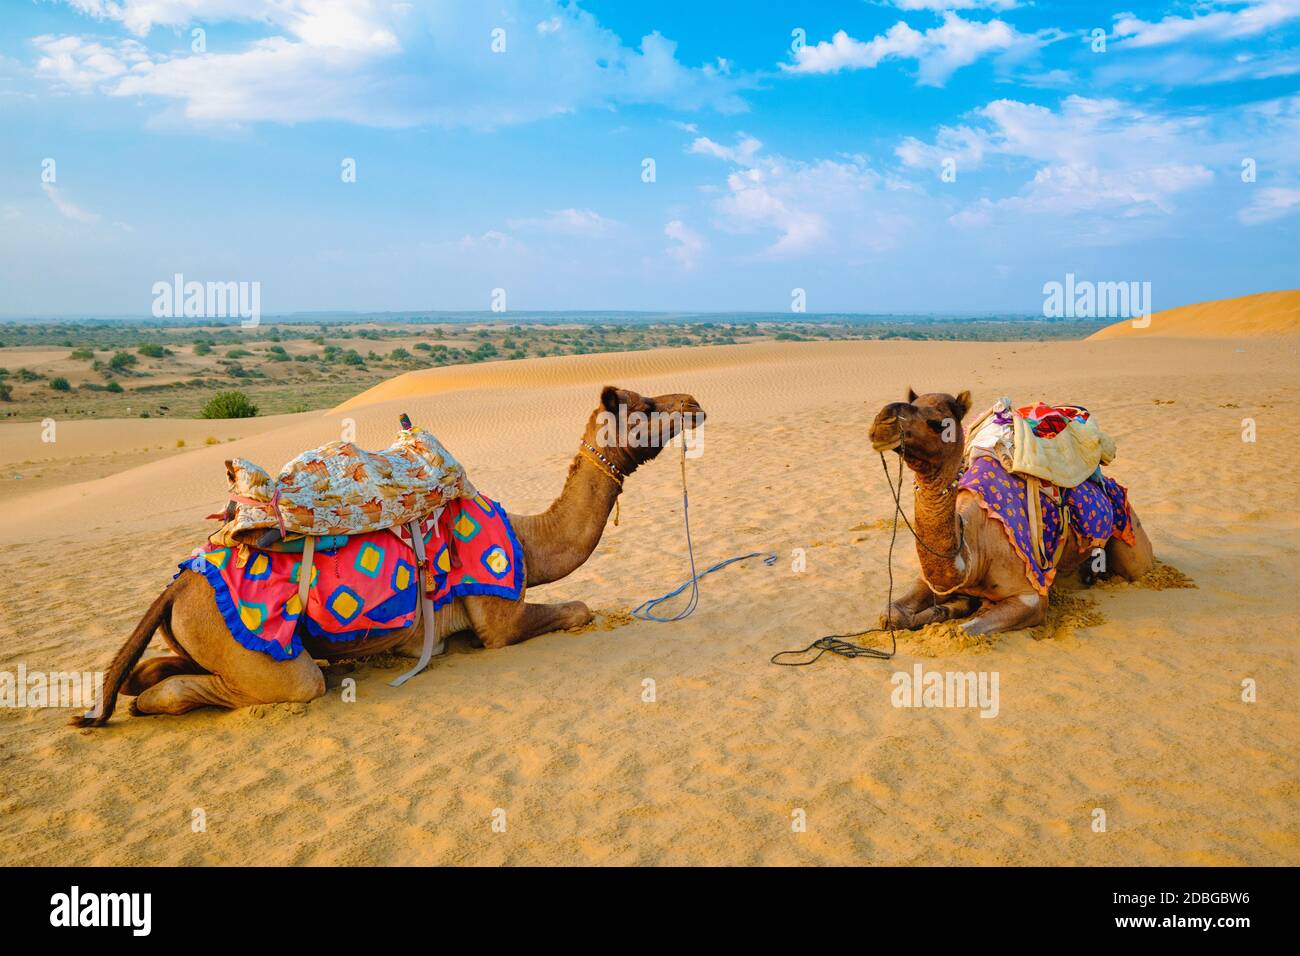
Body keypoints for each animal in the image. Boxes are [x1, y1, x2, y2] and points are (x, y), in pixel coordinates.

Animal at [75, 386, 703, 726]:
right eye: (645, 406)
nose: (693, 402)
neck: (530, 537)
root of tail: (176, 586)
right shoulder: (497, 618)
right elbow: (578, 610)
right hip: (260, 652)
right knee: (280, 683)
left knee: (151, 670)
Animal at [868, 388, 1154, 635]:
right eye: (914, 404)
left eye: (938, 423)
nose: (882, 420)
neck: (974, 549)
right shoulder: (930, 581)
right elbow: (891, 614)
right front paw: (953, 606)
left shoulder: (1031, 597)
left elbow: (965, 629)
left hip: (1132, 541)